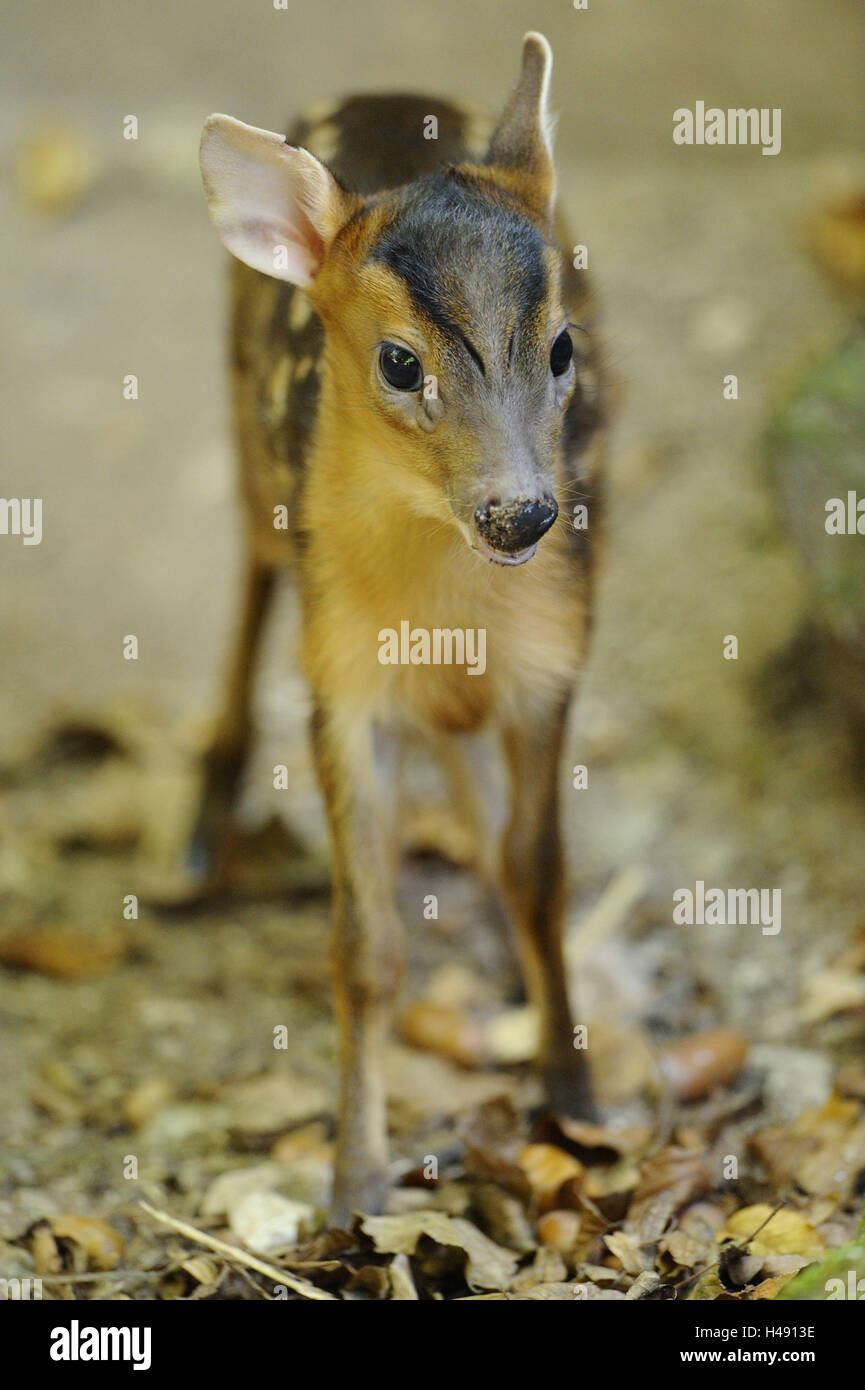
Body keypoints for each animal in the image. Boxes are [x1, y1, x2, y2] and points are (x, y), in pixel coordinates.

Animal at [197, 31, 607, 1222]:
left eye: (560, 348)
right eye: (397, 361)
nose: (521, 513)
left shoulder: (552, 658)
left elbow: (539, 872)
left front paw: (577, 1096)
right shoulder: (342, 683)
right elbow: (365, 945)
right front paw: (354, 1182)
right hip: (248, 450)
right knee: (251, 568)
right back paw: (202, 824)